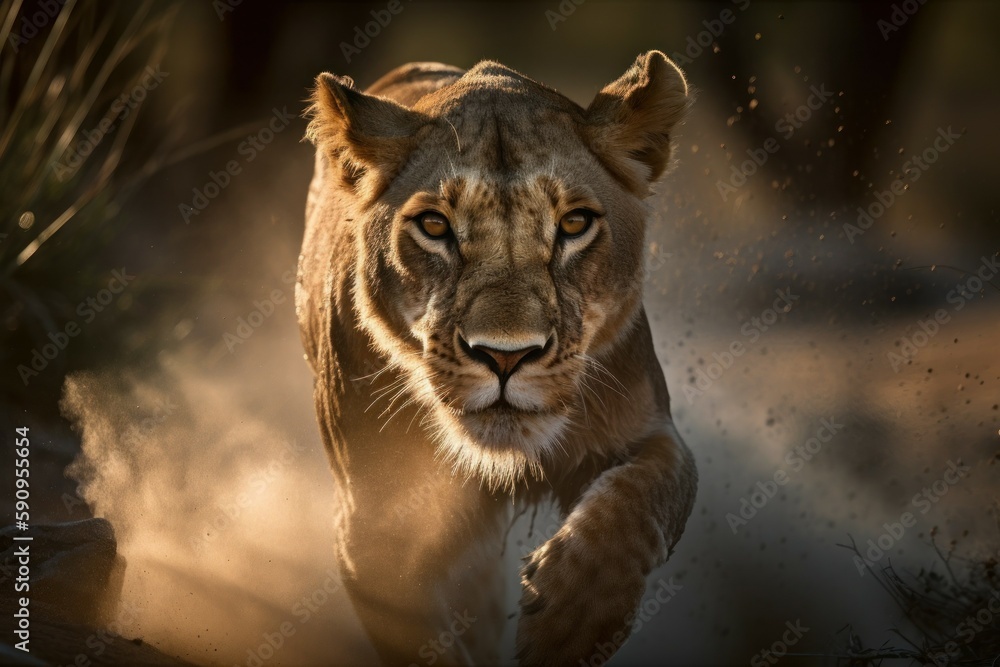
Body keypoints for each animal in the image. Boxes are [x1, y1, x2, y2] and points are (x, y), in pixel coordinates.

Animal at [296, 51, 697, 666]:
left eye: (575, 224)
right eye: (434, 225)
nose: (506, 357)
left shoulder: (652, 431)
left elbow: (641, 498)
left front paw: (574, 619)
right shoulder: (373, 525)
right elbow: (426, 645)